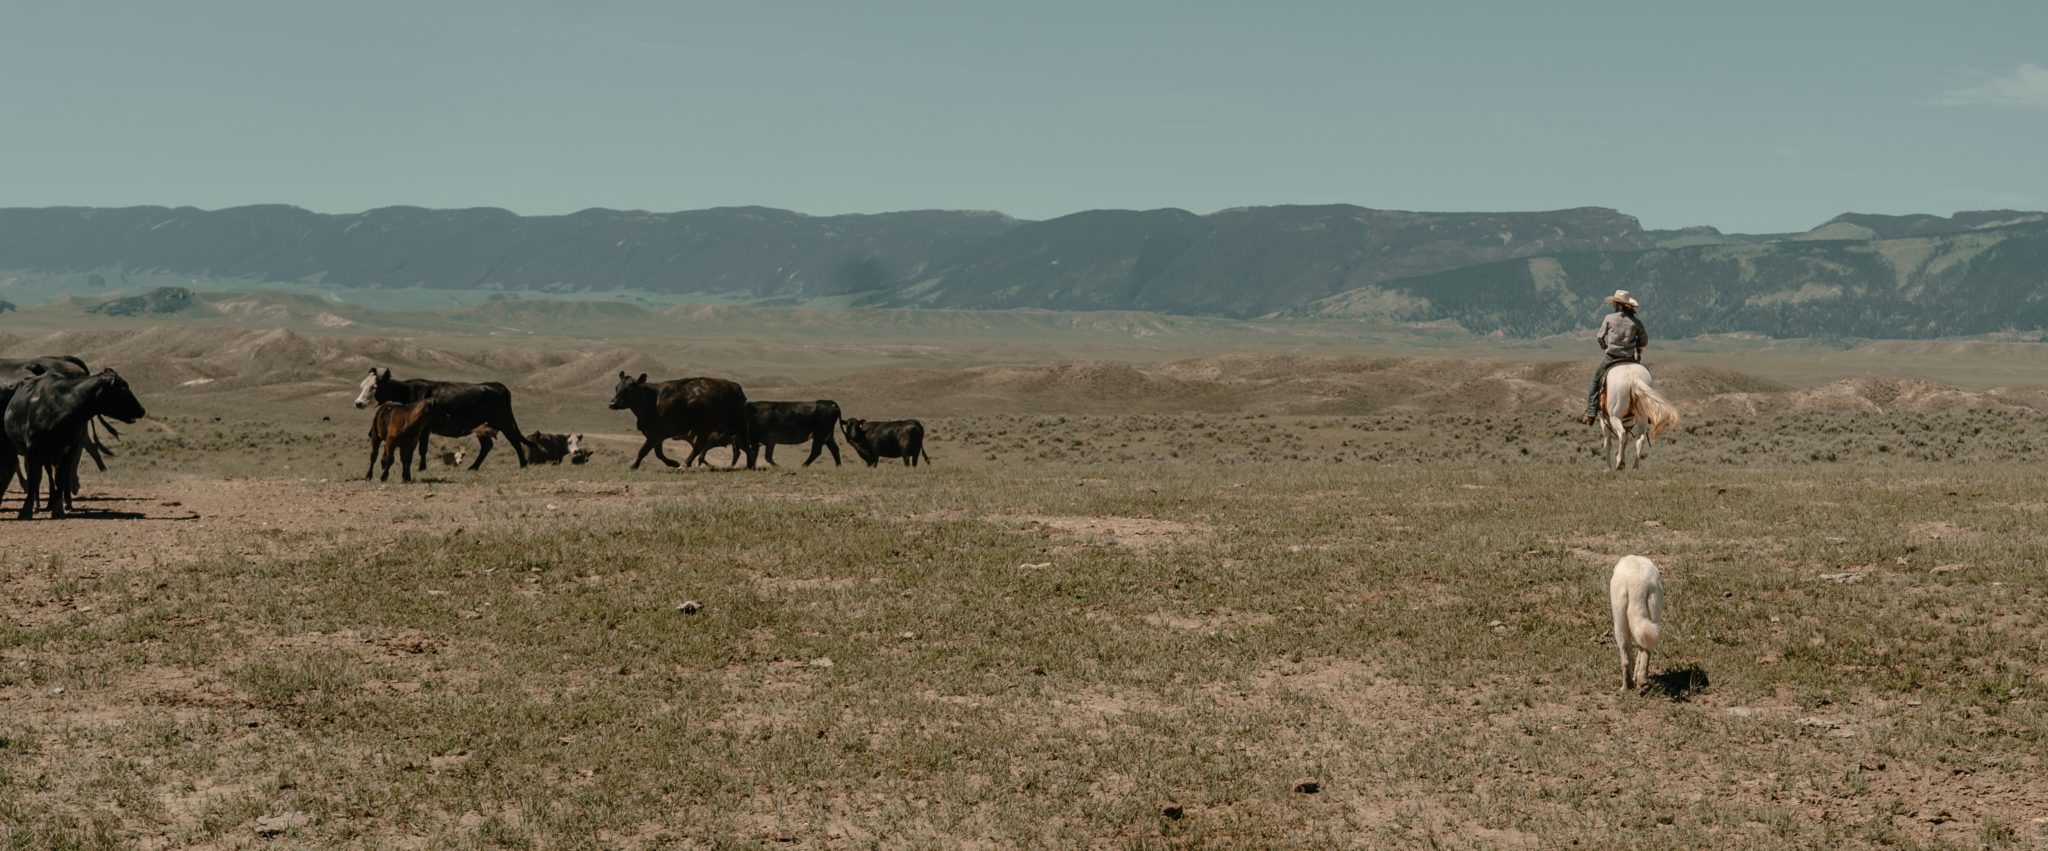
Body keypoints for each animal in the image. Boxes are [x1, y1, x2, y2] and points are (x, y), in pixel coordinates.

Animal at [2, 369, 147, 519]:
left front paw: (58, 510)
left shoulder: (69, 450)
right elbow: (34, 479)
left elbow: (60, 478)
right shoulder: (33, 449)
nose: (142, 410)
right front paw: (26, 510)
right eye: (123, 388)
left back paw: (60, 503)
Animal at [353, 368, 535, 471]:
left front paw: (422, 468)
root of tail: (497, 385)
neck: (410, 391)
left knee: (514, 441)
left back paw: (523, 465)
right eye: (362, 385)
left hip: (503, 421)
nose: (358, 403)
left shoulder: (424, 428)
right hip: (482, 427)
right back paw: (473, 467)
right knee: (487, 446)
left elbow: (422, 448)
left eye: (374, 387)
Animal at [608, 371, 753, 470]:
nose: (612, 403)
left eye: (629, 389)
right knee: (699, 446)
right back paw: (684, 464)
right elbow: (658, 453)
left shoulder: (656, 433)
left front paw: (633, 466)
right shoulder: (655, 434)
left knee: (746, 444)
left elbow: (643, 450)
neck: (652, 400)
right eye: (616, 387)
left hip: (738, 424)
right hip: (705, 428)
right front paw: (673, 463)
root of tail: (734, 386)